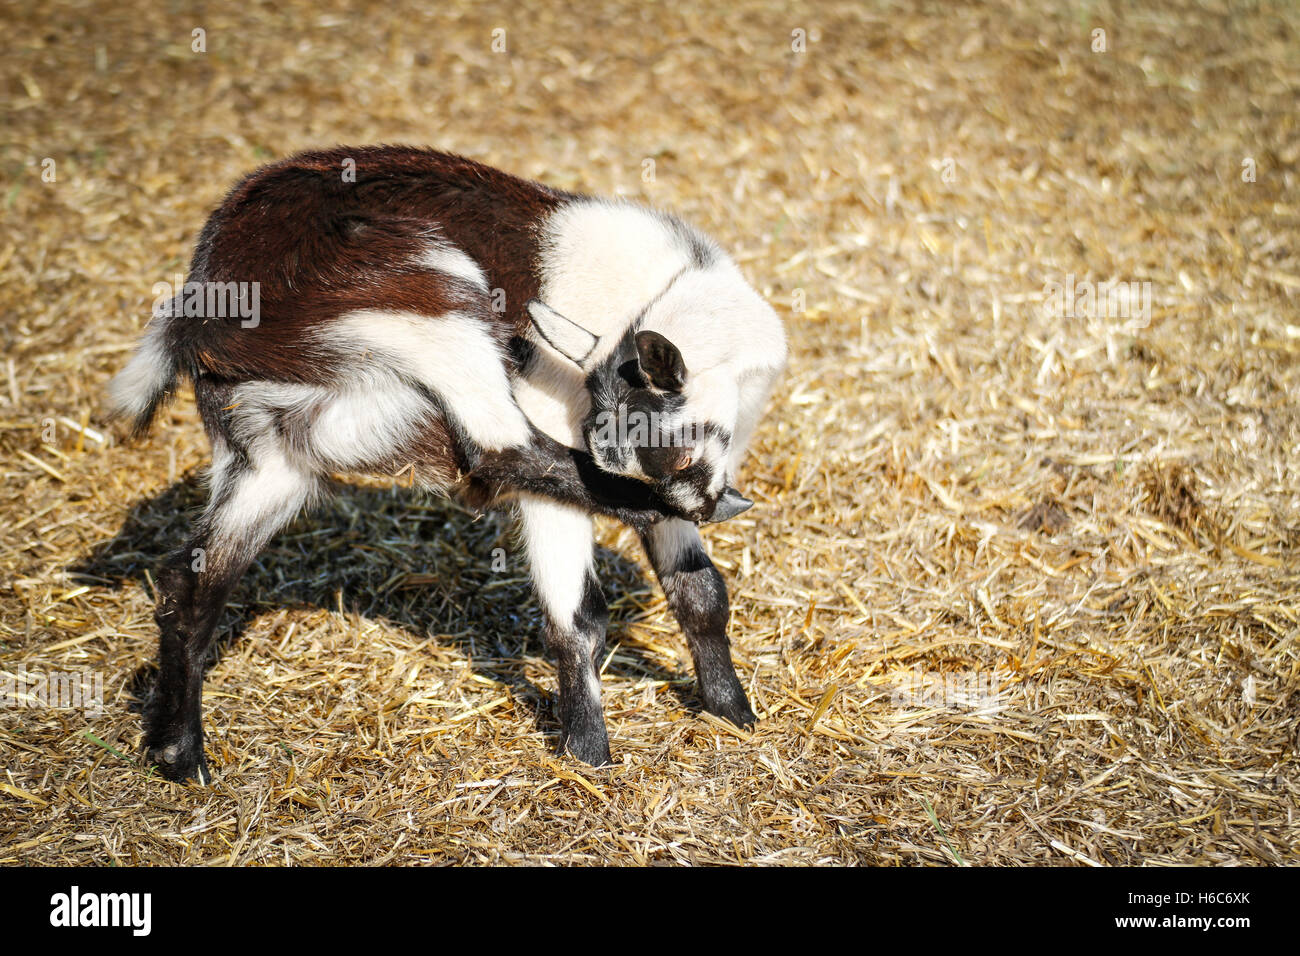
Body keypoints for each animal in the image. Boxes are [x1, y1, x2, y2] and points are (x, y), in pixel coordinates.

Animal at [111, 146, 786, 780]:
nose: (706, 501)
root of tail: (203, 312)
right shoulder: (563, 426)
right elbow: (579, 617)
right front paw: (588, 755)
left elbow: (700, 593)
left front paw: (734, 714)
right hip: (433, 300)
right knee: (503, 448)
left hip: (269, 453)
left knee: (191, 581)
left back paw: (179, 755)